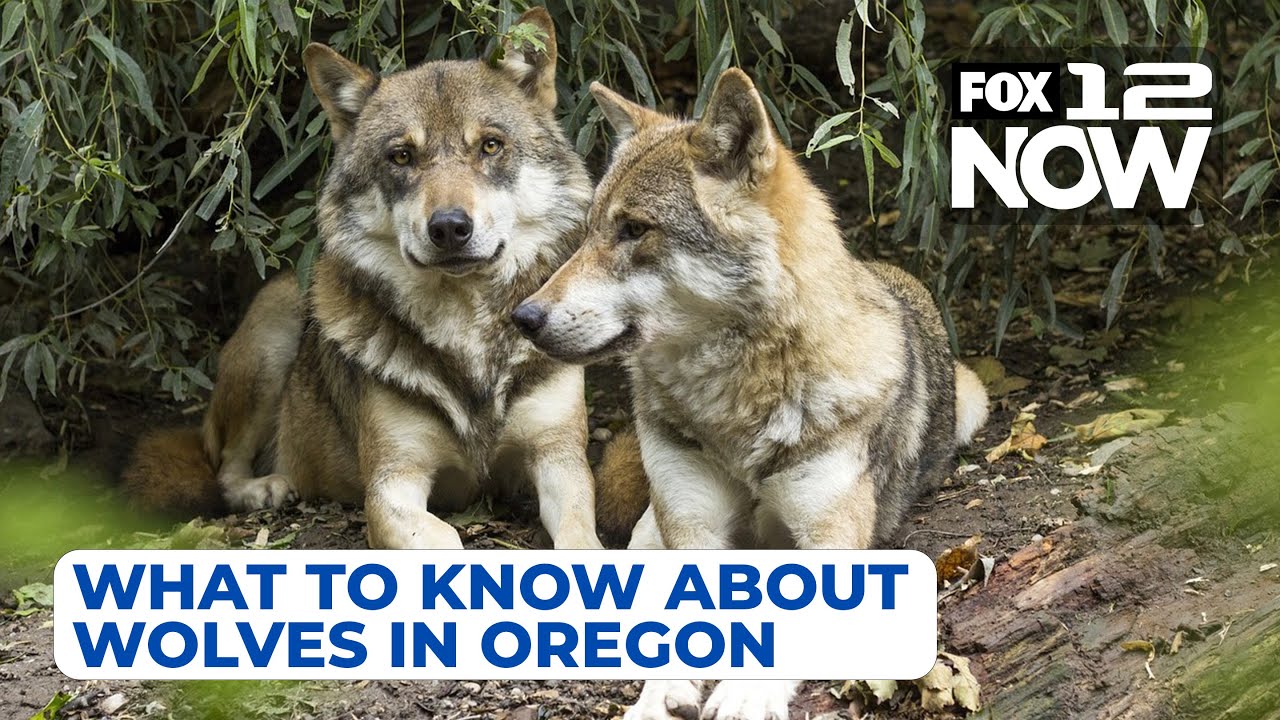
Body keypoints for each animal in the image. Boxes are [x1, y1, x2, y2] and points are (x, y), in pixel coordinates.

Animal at [123, 8, 604, 551]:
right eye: (401, 157)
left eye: (490, 146)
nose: (449, 228)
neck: (467, 336)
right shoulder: (391, 483)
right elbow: (446, 539)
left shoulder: (560, 461)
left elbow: (581, 539)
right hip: (273, 341)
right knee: (224, 468)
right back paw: (264, 488)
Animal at [511, 69, 989, 718]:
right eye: (587, 232)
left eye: (634, 229)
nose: (523, 317)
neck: (735, 411)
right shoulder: (693, 527)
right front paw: (658, 696)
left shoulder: (830, 538)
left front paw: (744, 693)